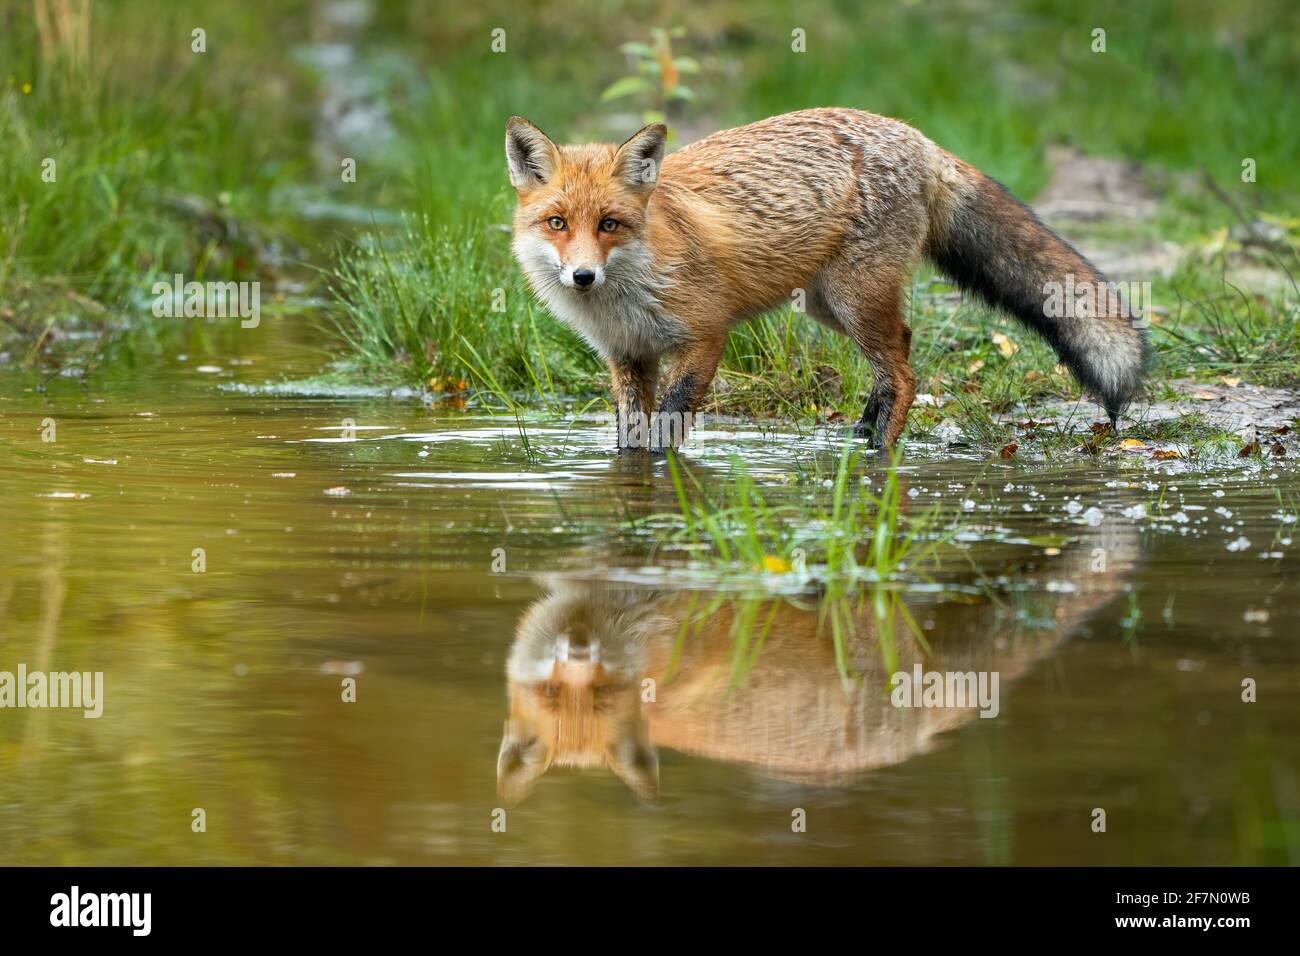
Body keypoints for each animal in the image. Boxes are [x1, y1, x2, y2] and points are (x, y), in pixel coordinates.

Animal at [506, 108, 1148, 450]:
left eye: (609, 224)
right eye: (558, 223)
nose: (582, 276)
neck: (625, 297)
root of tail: (918, 136)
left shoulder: (705, 337)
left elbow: (668, 424)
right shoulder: (628, 357)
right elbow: (629, 439)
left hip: (854, 298)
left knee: (906, 375)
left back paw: (880, 454)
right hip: (829, 307)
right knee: (900, 352)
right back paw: (863, 432)